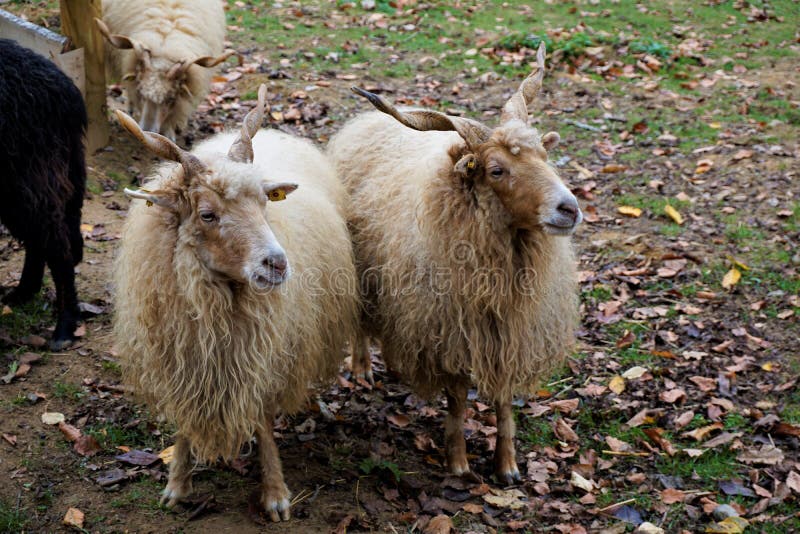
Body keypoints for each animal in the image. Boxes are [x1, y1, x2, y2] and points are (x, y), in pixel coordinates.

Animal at [113, 85, 358, 521]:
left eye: (265, 203)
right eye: (207, 214)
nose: (277, 264)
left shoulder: (260, 354)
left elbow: (261, 420)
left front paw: (275, 492)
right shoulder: (181, 356)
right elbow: (184, 418)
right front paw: (177, 484)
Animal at [328, 44, 582, 484]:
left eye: (545, 155)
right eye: (496, 170)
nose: (569, 208)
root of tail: (365, 122)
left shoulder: (509, 333)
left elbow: (503, 400)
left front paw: (507, 466)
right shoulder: (449, 328)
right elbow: (459, 398)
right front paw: (458, 461)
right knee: (359, 321)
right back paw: (361, 368)